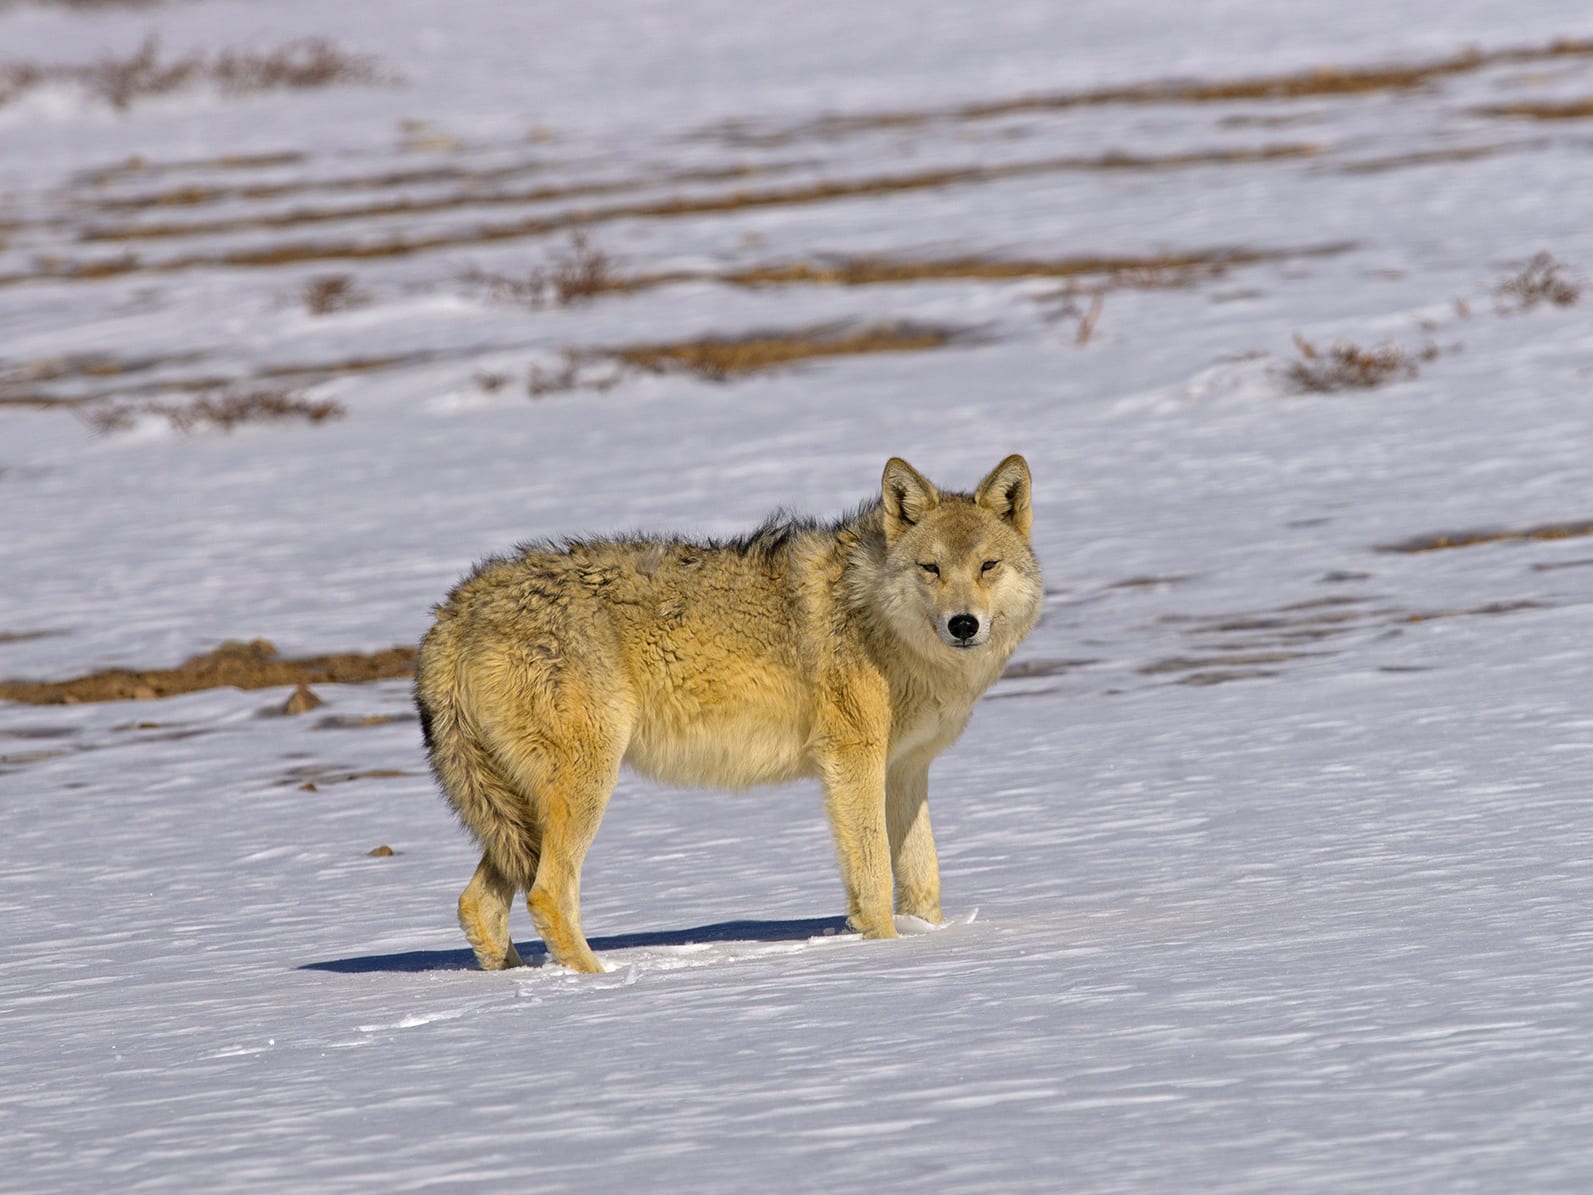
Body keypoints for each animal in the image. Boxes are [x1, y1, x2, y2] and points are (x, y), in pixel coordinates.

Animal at [415, 455, 1042, 972]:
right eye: (931, 568)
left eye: (987, 566)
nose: (964, 624)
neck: (879, 622)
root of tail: (454, 611)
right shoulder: (852, 761)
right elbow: (873, 876)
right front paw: (886, 953)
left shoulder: (906, 769)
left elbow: (924, 881)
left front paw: (930, 943)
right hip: (585, 783)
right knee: (547, 893)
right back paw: (601, 983)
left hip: (518, 814)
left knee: (476, 903)